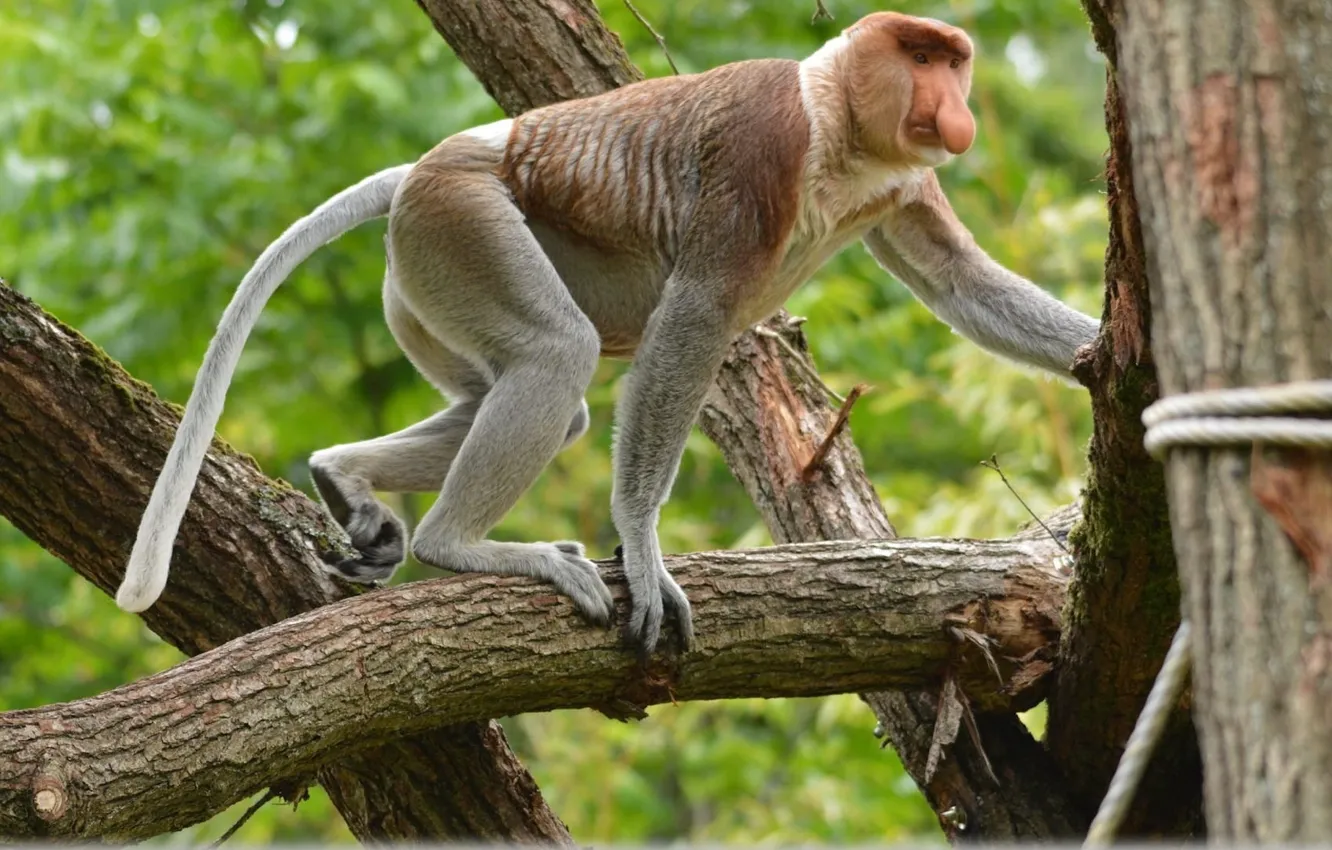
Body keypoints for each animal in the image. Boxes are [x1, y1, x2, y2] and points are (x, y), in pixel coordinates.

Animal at [116, 11, 1100, 654]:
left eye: (953, 60)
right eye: (921, 55)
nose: (954, 105)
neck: (836, 118)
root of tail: (424, 168)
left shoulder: (899, 184)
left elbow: (958, 280)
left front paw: (1101, 358)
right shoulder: (762, 144)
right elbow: (694, 317)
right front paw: (642, 545)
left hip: (422, 280)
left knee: (525, 397)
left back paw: (343, 477)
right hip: (461, 225)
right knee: (559, 358)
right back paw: (456, 545)